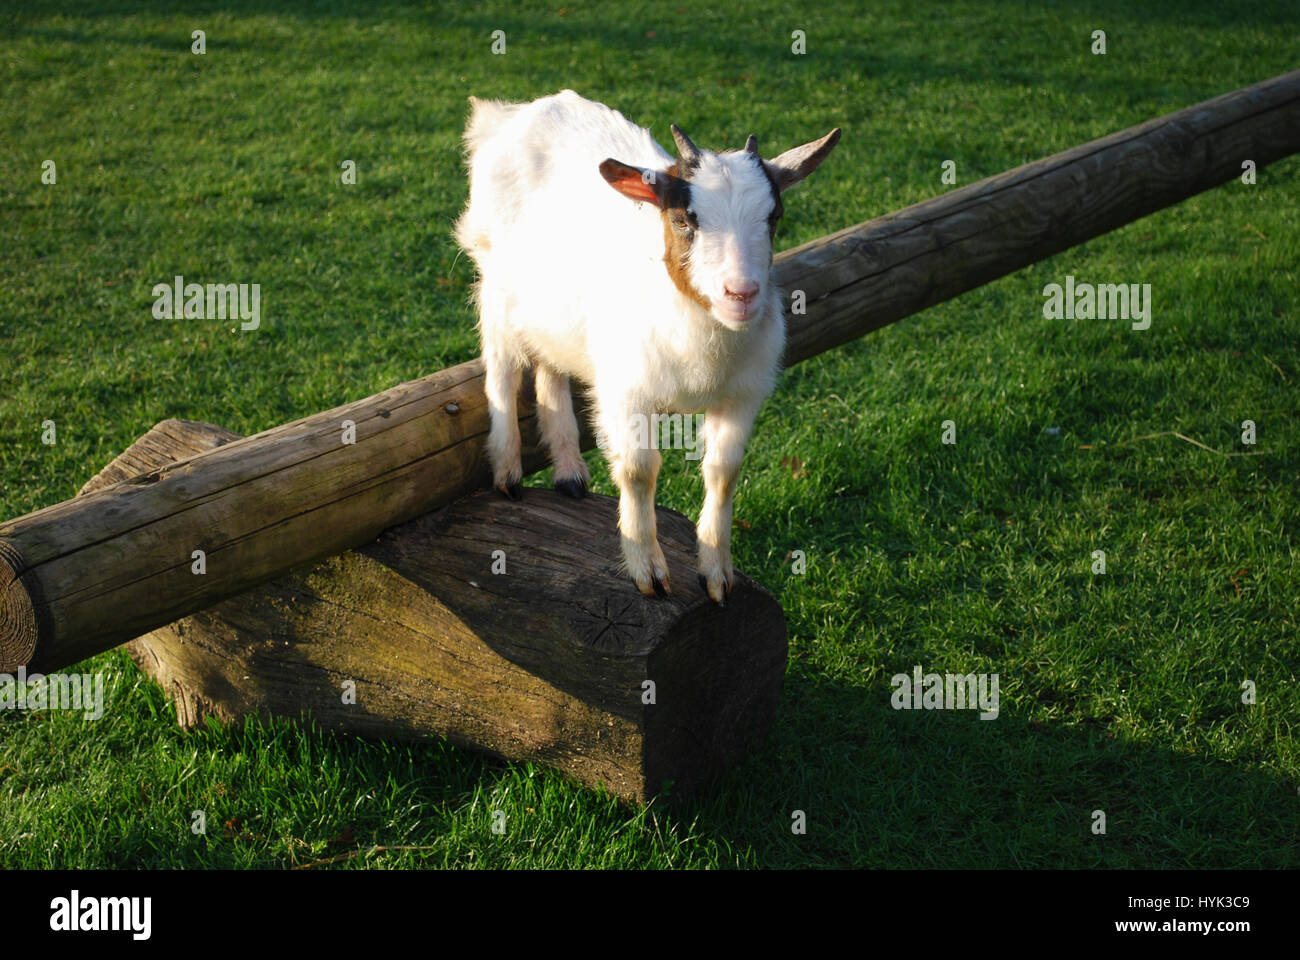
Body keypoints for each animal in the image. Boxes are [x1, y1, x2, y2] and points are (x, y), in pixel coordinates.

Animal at [454, 90, 839, 603]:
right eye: (683, 218)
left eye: (774, 216)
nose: (741, 294)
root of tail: (503, 116)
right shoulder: (627, 393)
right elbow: (639, 470)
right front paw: (648, 571)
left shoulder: (741, 396)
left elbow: (724, 472)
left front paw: (717, 573)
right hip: (494, 283)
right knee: (501, 365)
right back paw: (508, 470)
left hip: (551, 307)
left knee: (550, 365)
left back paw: (569, 472)